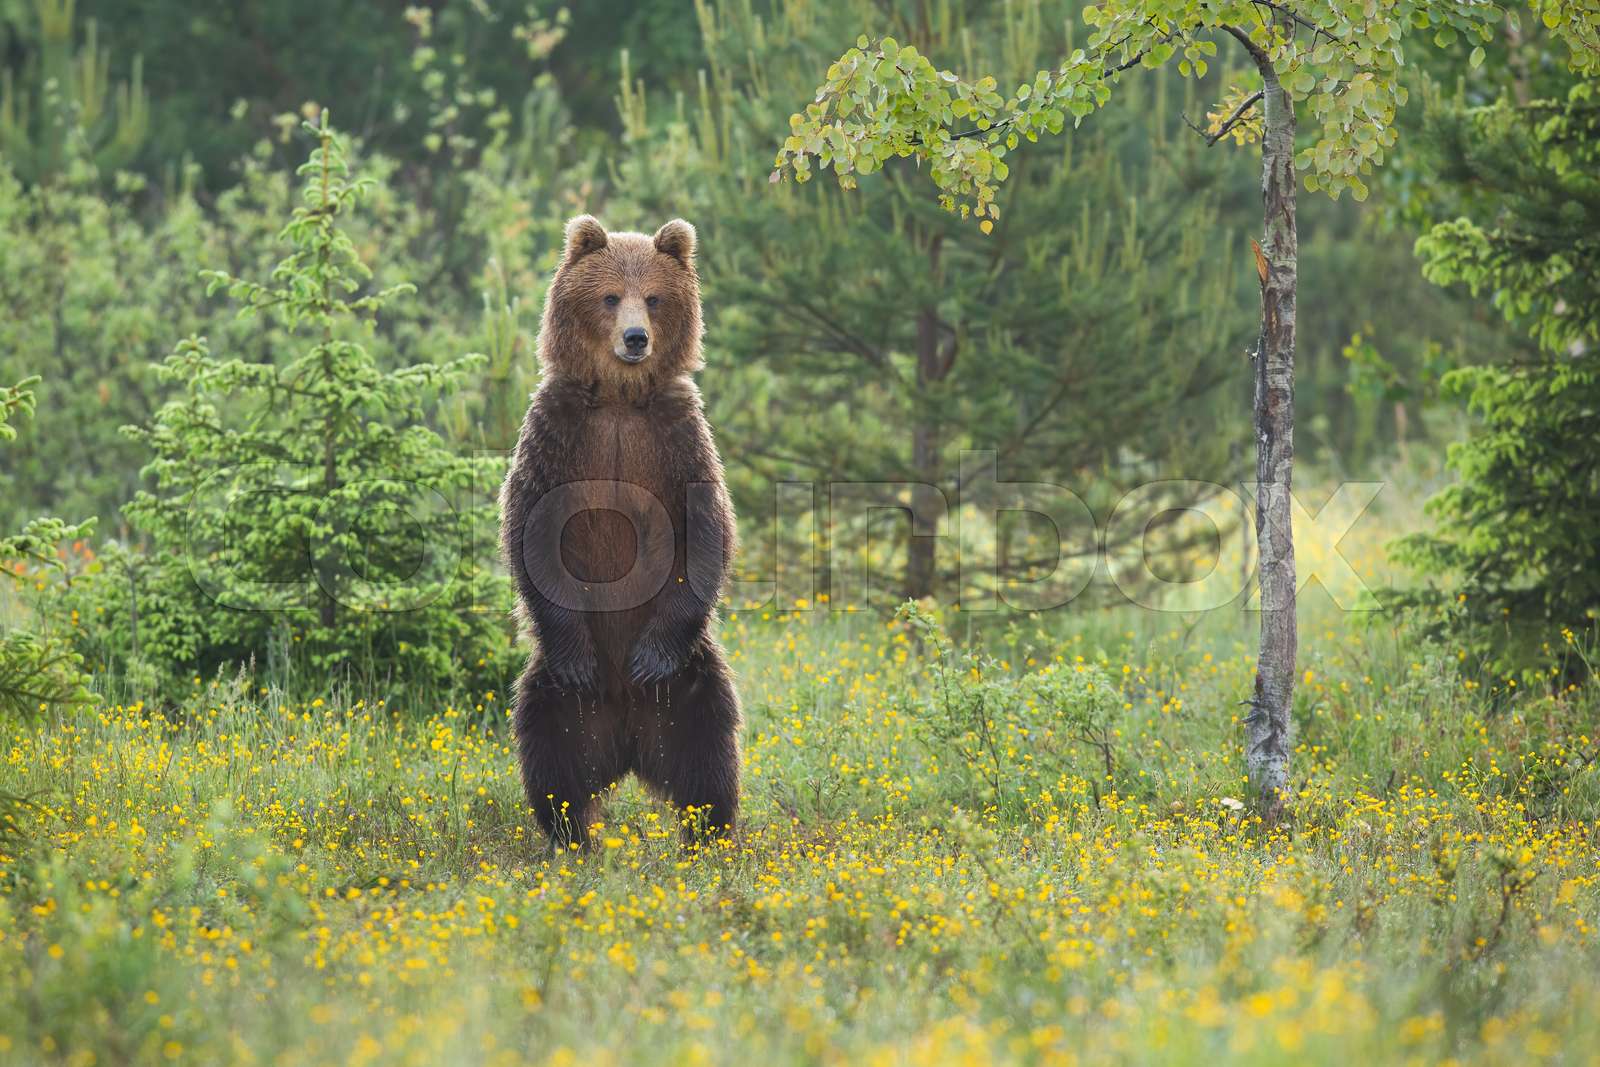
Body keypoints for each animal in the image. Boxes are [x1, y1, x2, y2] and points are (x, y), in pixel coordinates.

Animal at [499, 214, 741, 848]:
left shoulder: (676, 436)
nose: (635, 338)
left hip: (692, 681)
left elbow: (708, 528)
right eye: (610, 296)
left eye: (653, 298)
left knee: (710, 753)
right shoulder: (557, 434)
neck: (617, 398)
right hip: (556, 694)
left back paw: (710, 837)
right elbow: (528, 527)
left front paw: (651, 657)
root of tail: (629, 742)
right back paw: (571, 836)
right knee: (549, 754)